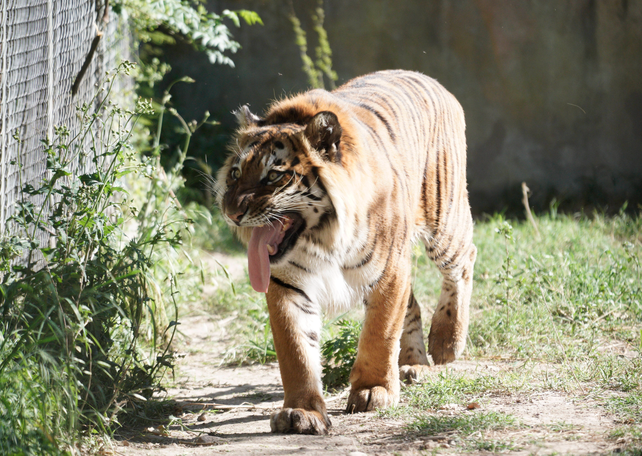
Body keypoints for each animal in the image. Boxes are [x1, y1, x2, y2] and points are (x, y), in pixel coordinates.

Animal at [214, 70, 476, 435]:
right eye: (236, 173)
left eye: (274, 176)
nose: (231, 212)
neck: (321, 237)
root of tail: (430, 79)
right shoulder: (286, 283)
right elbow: (296, 350)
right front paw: (301, 411)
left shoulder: (388, 270)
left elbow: (380, 333)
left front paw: (373, 390)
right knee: (412, 304)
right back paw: (413, 365)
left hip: (443, 219)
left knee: (463, 262)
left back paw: (445, 343)